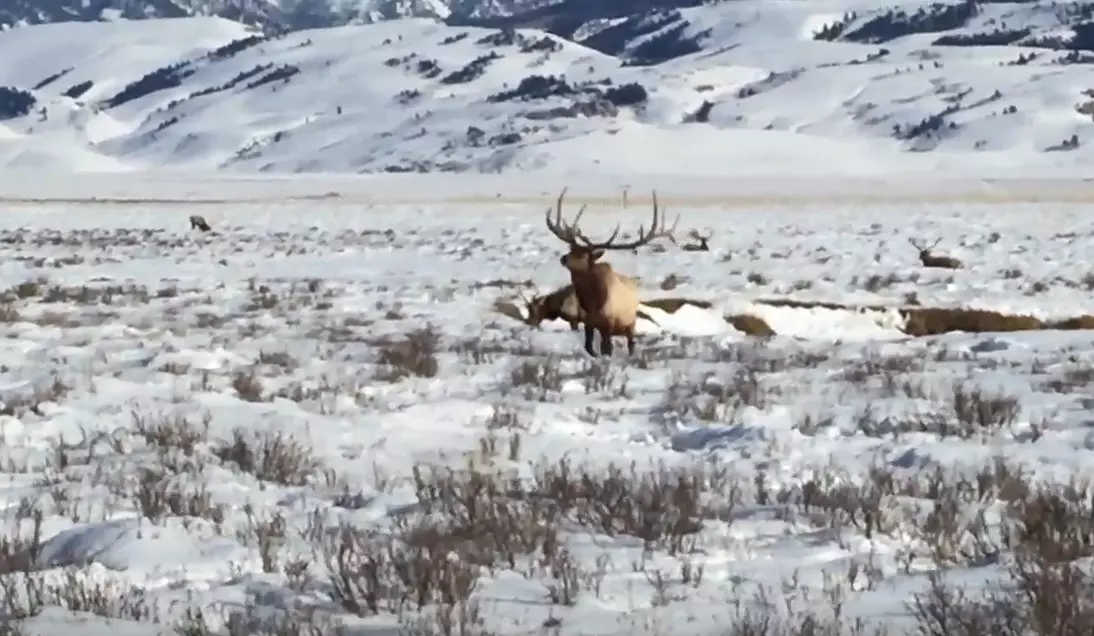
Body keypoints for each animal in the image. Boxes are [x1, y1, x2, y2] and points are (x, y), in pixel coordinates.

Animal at [543, 188, 678, 357]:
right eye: (571, 249)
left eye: (584, 255)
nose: (563, 258)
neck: (592, 302)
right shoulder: (588, 322)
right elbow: (589, 347)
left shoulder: (609, 323)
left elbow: (606, 349)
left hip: (630, 322)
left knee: (631, 343)